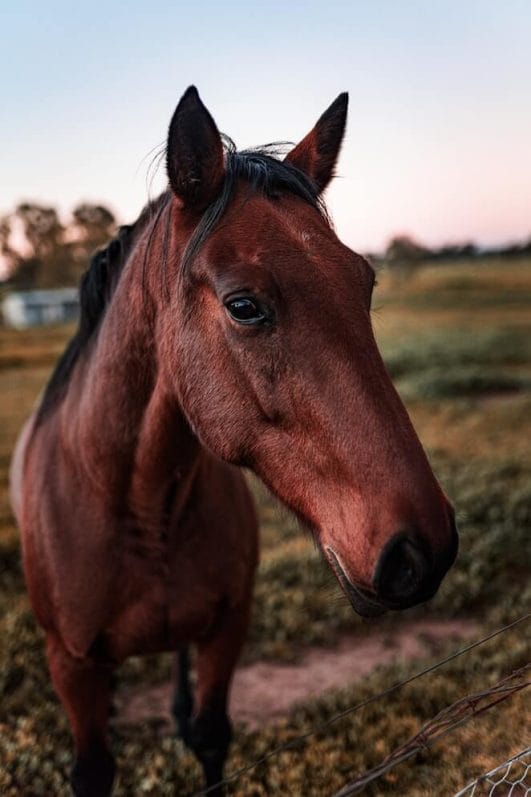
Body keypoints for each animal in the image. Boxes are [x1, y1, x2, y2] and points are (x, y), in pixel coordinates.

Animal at [10, 86, 458, 796]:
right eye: (244, 306)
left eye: (364, 284)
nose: (422, 549)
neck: (134, 506)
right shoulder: (72, 666)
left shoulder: (227, 632)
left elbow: (209, 736)